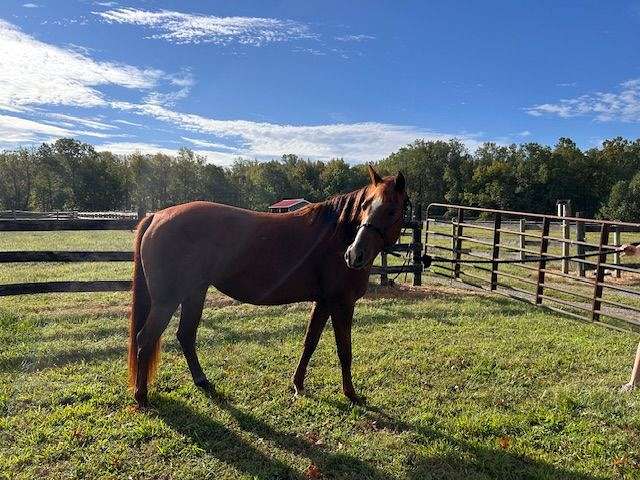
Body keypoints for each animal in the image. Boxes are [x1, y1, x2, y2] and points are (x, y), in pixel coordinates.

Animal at [128, 164, 407, 407]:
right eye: (365, 206)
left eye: (392, 210)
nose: (354, 255)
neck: (337, 233)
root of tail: (156, 216)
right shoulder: (341, 303)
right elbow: (344, 350)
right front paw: (351, 394)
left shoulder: (324, 302)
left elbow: (310, 342)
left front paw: (298, 385)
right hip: (167, 301)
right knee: (146, 339)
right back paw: (141, 396)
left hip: (194, 293)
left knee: (185, 335)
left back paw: (201, 381)